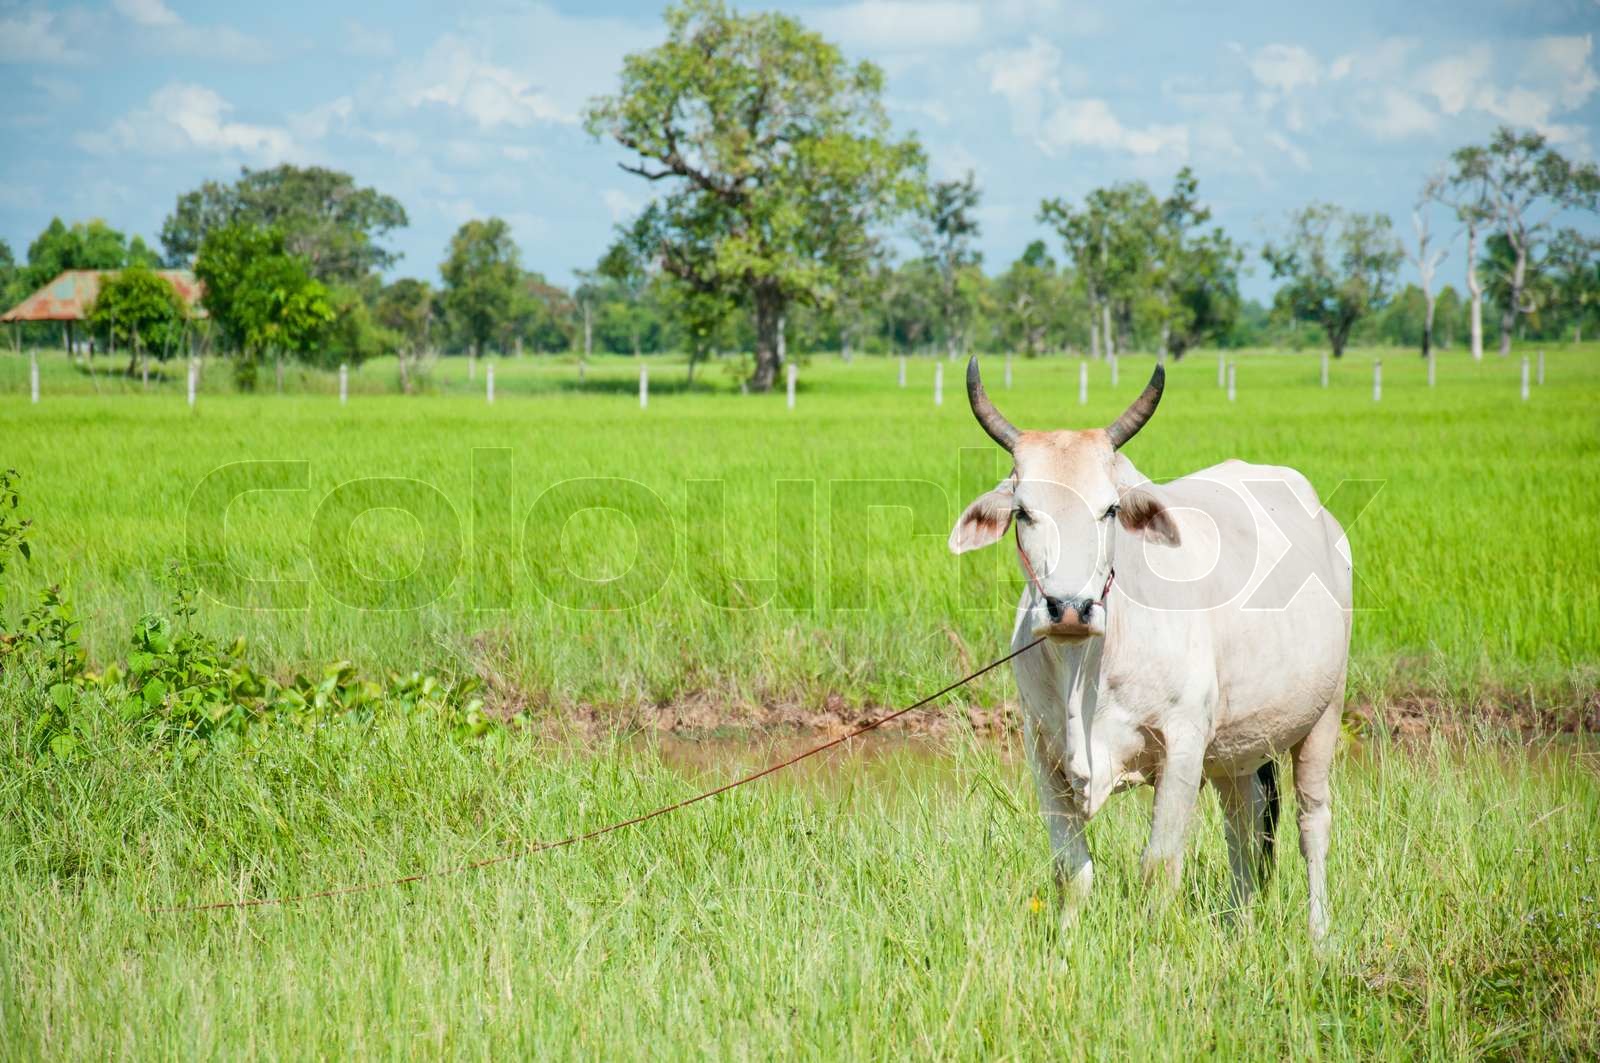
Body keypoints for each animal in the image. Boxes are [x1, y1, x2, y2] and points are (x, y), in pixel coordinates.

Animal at [948, 358, 1351, 938]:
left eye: (1110, 509)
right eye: (1023, 512)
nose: (1069, 609)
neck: (1087, 667)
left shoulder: (1183, 744)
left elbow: (1159, 868)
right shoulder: (1041, 749)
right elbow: (1071, 871)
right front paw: (1066, 943)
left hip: (1324, 713)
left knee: (1311, 822)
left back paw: (1318, 934)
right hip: (1237, 748)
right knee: (1245, 824)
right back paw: (1241, 924)